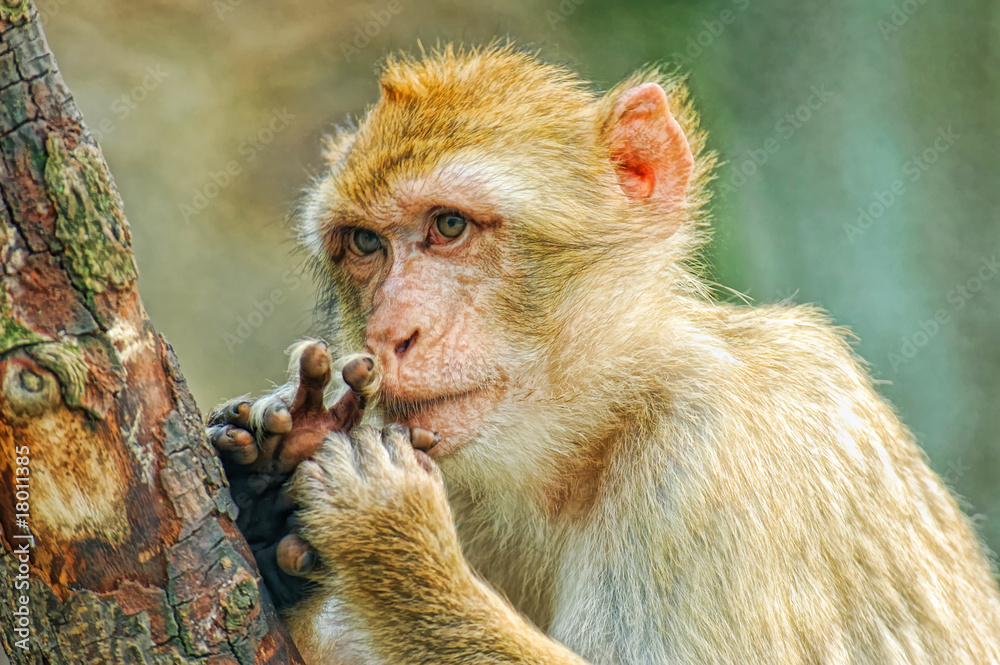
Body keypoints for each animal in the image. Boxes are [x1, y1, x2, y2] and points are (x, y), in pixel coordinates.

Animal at [206, 44, 1000, 664]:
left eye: (449, 226)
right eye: (366, 243)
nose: (391, 333)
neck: (601, 419)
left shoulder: (705, 458)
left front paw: (394, 544)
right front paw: (271, 475)